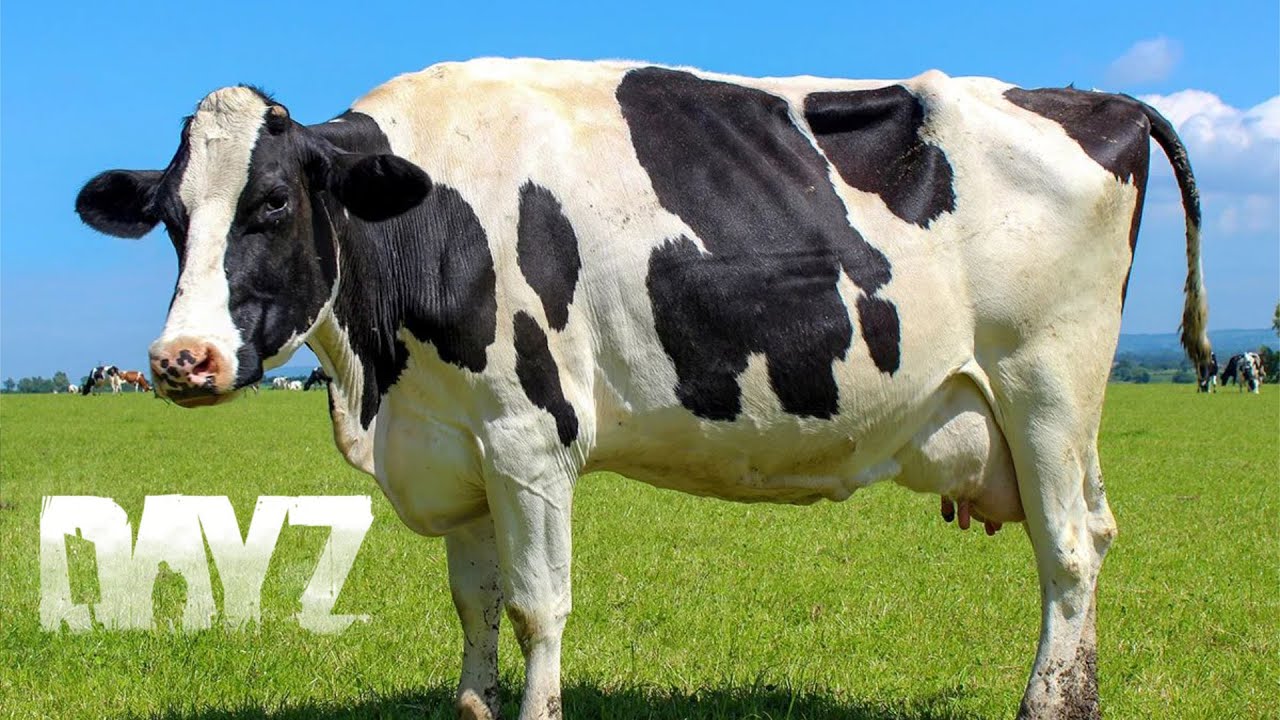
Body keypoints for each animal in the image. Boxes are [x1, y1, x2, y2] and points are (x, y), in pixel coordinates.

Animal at [74, 59, 1209, 720]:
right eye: (172, 215)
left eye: (270, 203)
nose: (180, 360)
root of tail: (1095, 98)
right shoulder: (455, 445)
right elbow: (474, 604)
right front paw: (475, 706)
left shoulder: (529, 438)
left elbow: (536, 606)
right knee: (1092, 533)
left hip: (1045, 382)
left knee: (1069, 551)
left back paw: (1048, 704)